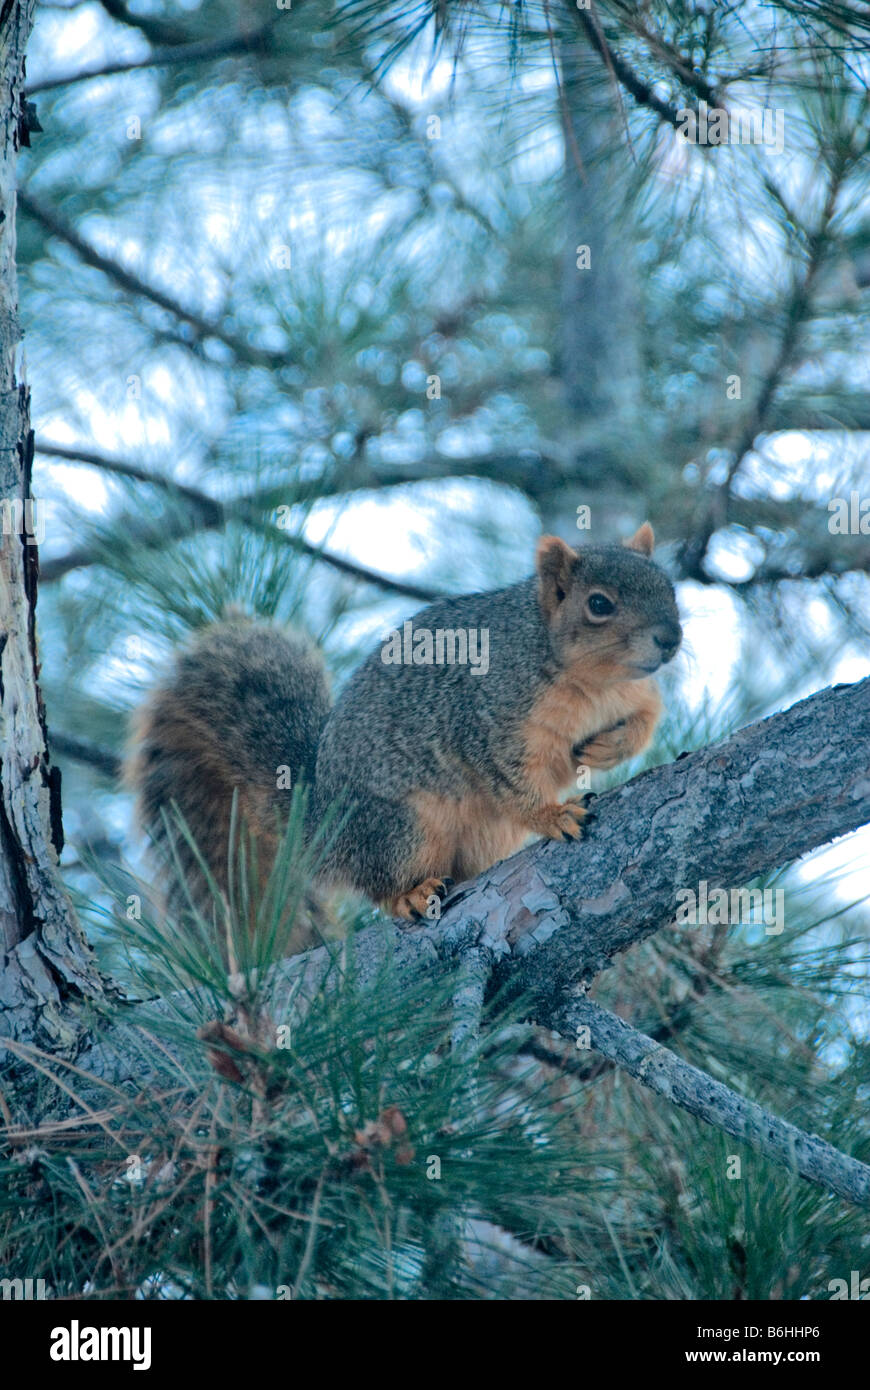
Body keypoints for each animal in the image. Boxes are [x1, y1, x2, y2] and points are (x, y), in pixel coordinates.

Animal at [126, 522, 681, 929]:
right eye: (599, 604)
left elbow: (646, 722)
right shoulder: (486, 720)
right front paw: (553, 814)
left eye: (670, 589)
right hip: (402, 828)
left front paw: (607, 749)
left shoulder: (637, 695)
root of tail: (320, 820)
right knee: (377, 884)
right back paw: (408, 896)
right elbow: (510, 781)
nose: (671, 639)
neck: (596, 684)